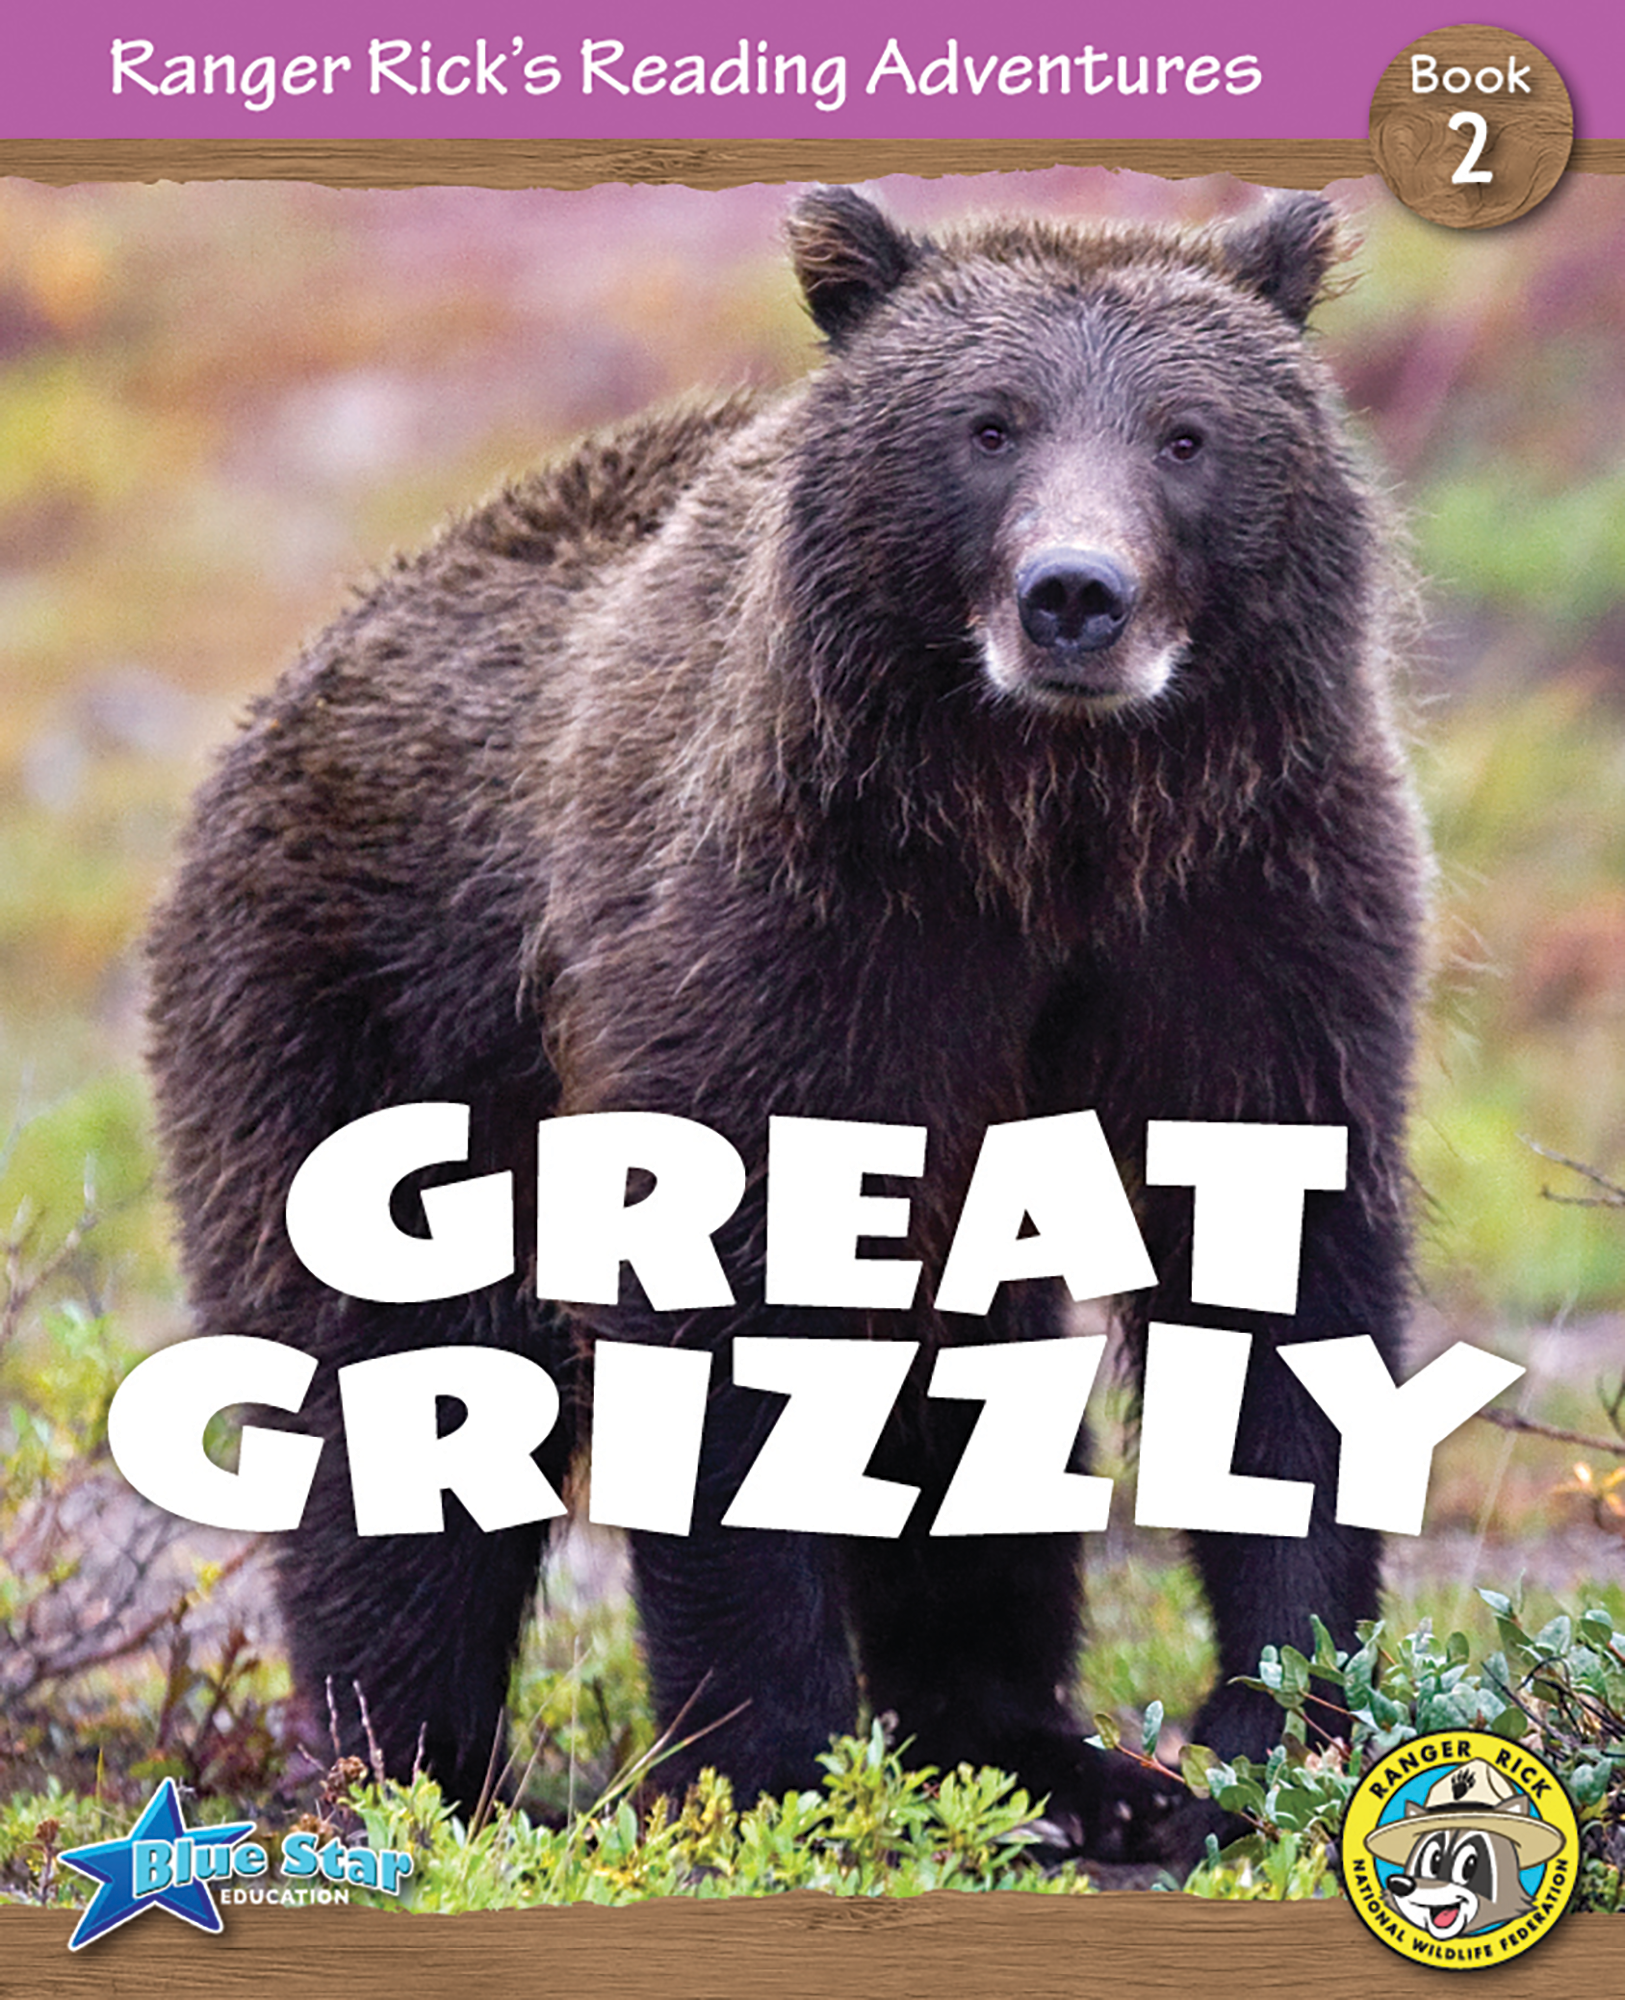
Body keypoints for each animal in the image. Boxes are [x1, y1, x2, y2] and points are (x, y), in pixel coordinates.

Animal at [144, 185, 1426, 1862]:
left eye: (1185, 434)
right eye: (988, 423)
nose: (1075, 597)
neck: (1048, 825)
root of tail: (326, 651)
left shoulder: (1255, 913)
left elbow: (1277, 1279)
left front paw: (1264, 1735)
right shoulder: (783, 936)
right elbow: (727, 1324)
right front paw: (771, 1768)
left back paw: (1044, 1761)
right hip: (369, 1017)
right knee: (397, 1406)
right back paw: (418, 1773)